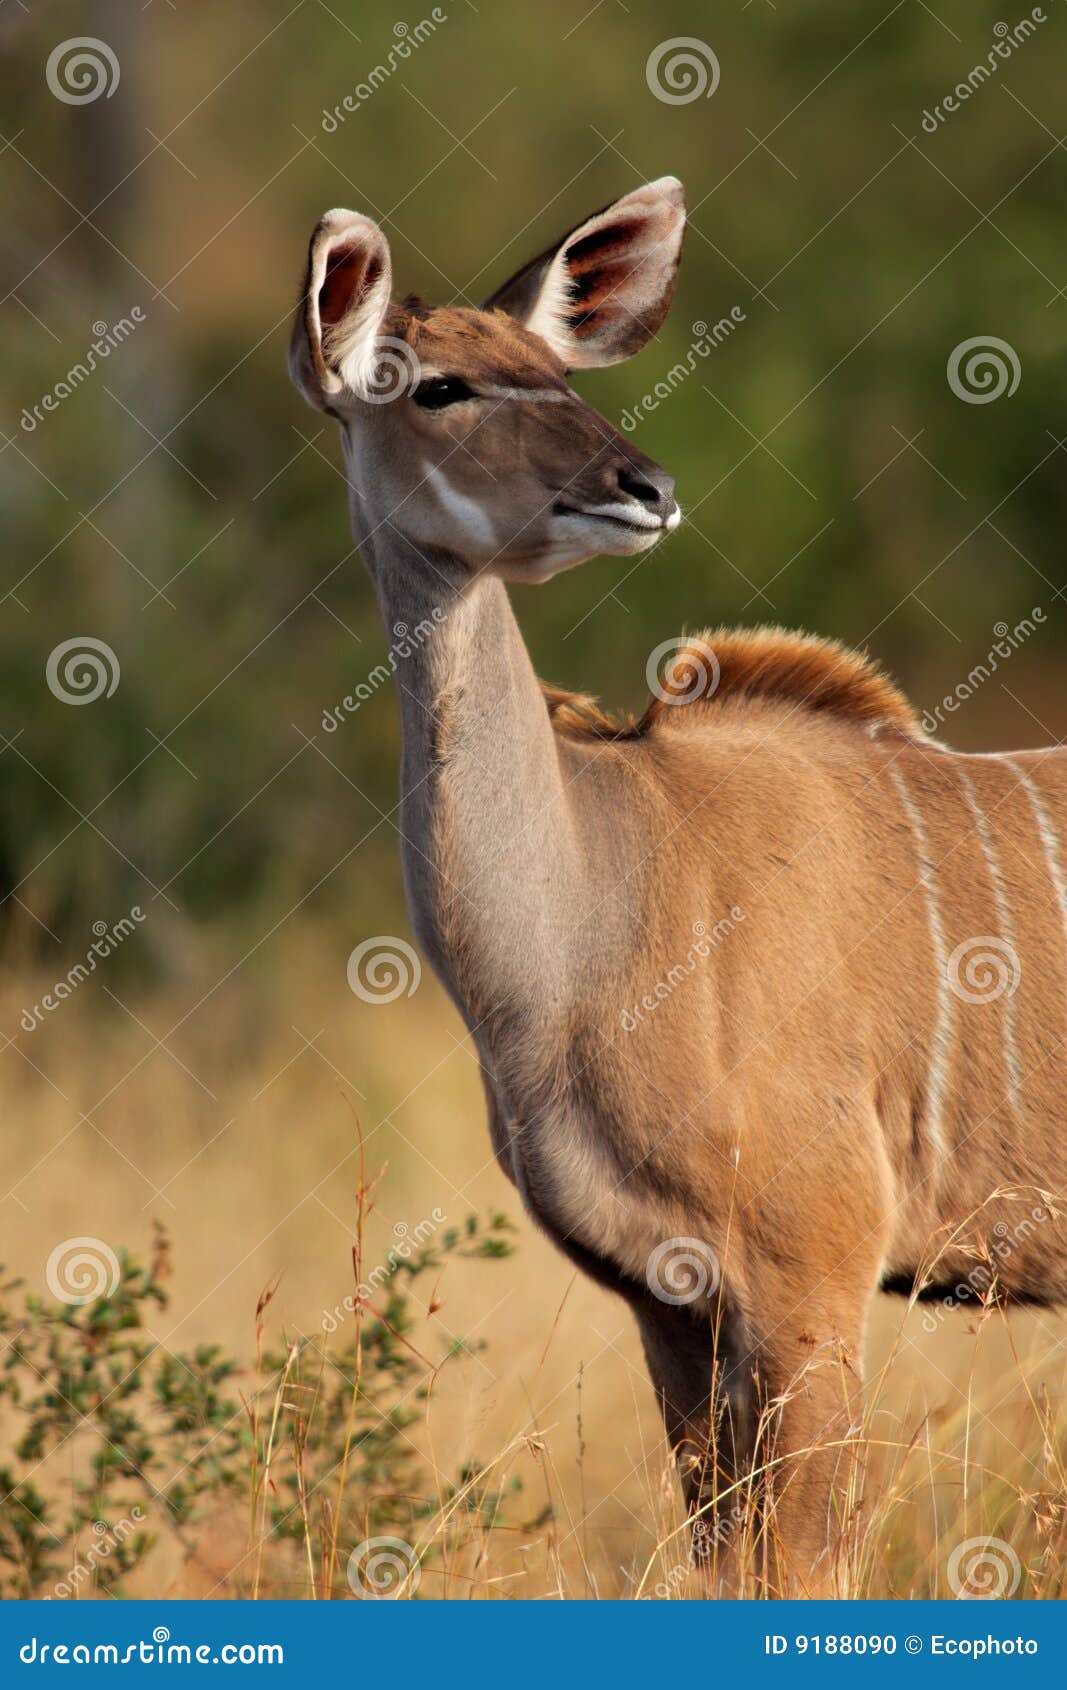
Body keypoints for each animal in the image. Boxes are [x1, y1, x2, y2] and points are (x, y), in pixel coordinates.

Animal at [289, 177, 1067, 1595]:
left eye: (554, 371)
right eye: (436, 386)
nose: (639, 487)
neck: (600, 914)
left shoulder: (810, 1282)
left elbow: (799, 1568)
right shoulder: (670, 1301)